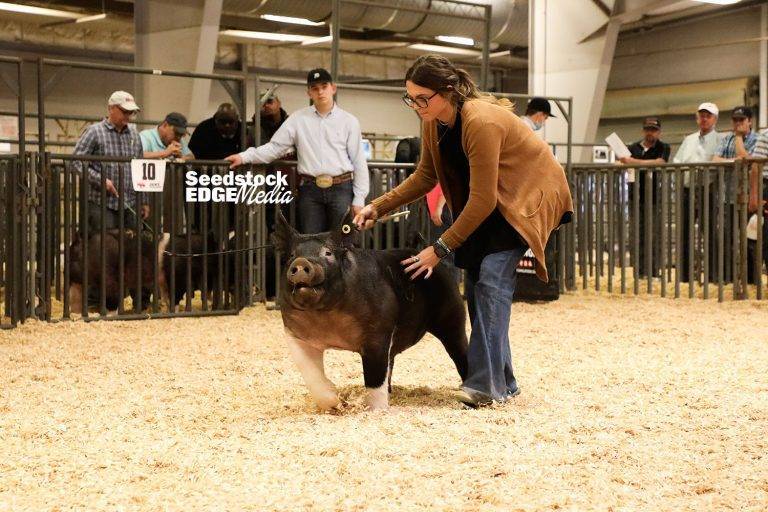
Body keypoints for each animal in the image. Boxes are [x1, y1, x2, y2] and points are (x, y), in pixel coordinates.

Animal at [271, 212, 468, 412]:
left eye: (328, 253)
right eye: (291, 255)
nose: (300, 262)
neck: (325, 314)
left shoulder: (378, 332)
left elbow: (374, 377)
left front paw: (376, 410)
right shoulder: (297, 336)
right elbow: (312, 376)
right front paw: (337, 403)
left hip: (452, 314)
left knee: (459, 348)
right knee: (391, 361)